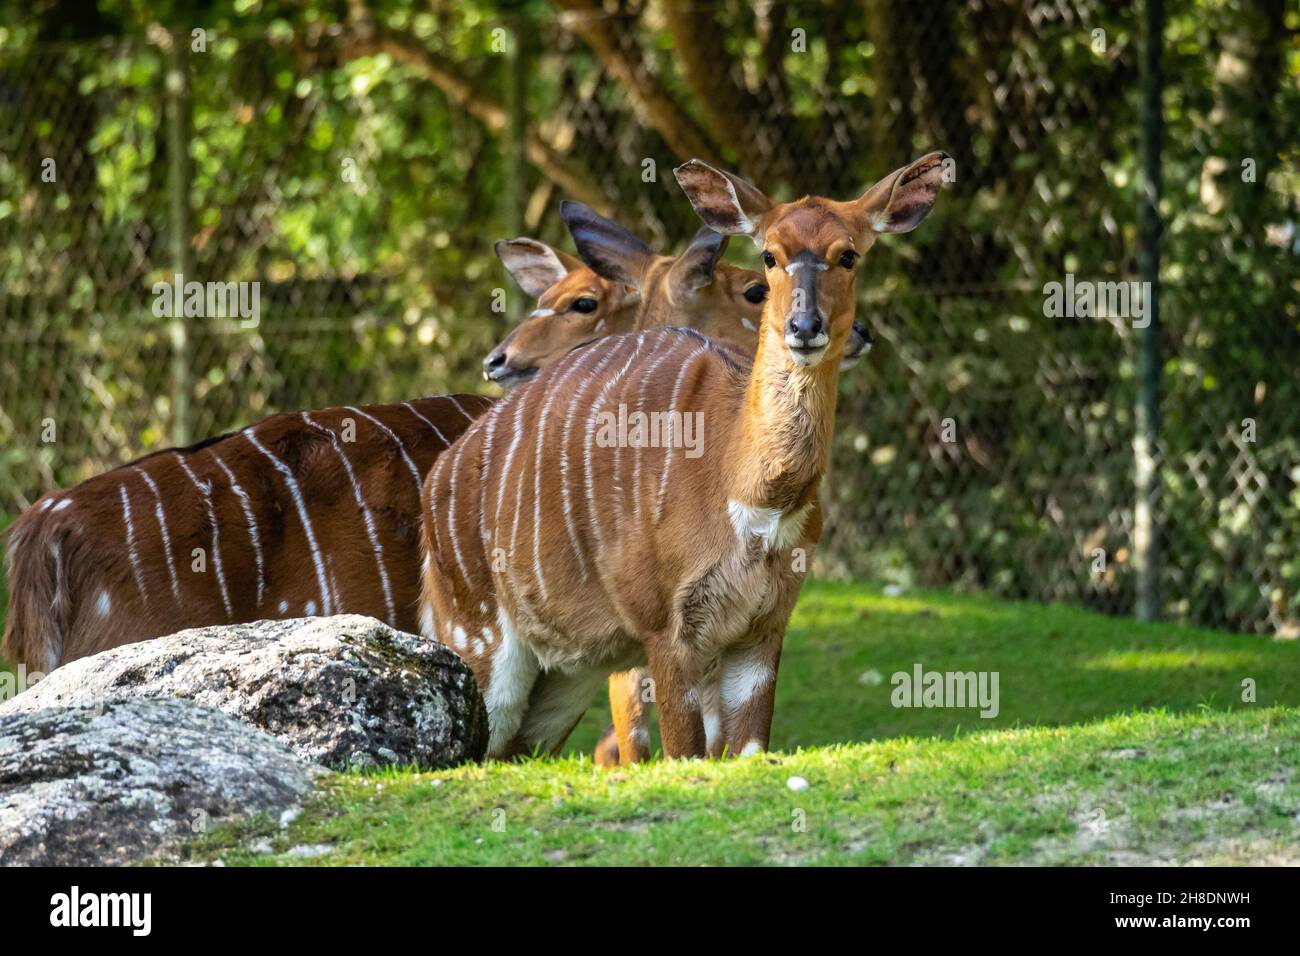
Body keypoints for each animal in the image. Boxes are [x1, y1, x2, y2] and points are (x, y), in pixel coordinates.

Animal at [420, 152, 947, 760]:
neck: (747, 493)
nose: (806, 327)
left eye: (849, 254)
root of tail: (439, 475)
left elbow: (745, 750)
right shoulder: (664, 629)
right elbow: (676, 749)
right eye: (768, 258)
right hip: (481, 643)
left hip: (560, 685)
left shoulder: (762, 629)